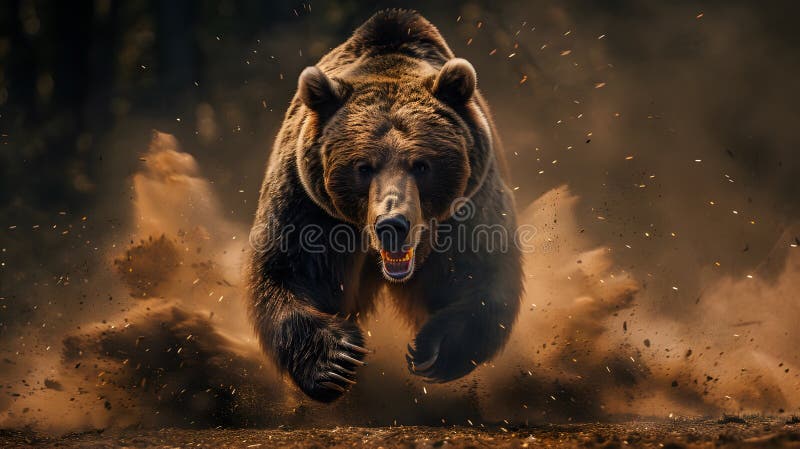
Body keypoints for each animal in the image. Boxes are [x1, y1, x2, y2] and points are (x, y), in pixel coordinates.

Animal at [247, 9, 523, 402]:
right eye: (363, 167)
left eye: (422, 165)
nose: (393, 224)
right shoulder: (308, 205)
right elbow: (290, 270)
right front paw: (336, 361)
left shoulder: (469, 204)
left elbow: (481, 274)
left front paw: (430, 351)